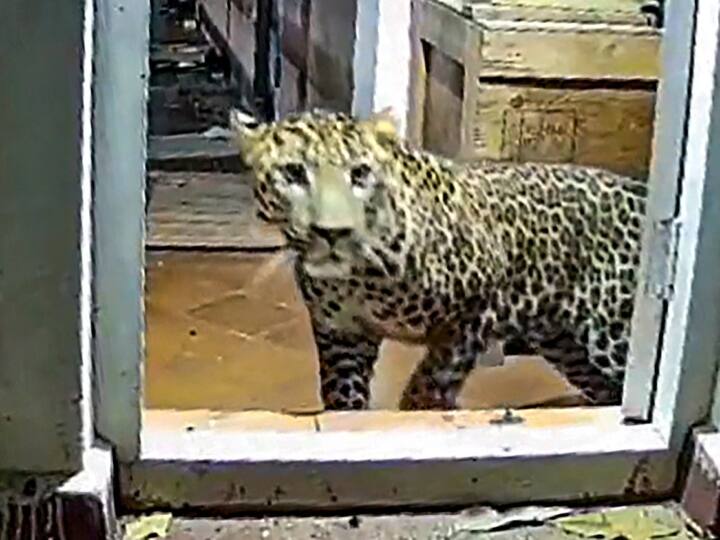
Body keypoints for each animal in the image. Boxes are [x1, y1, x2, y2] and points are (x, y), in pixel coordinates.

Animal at [231, 108, 647, 411]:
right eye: (293, 173)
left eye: (360, 174)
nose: (333, 233)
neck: (356, 279)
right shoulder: (343, 336)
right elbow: (343, 398)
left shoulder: (473, 312)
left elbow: (430, 382)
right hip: (570, 346)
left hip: (611, 337)